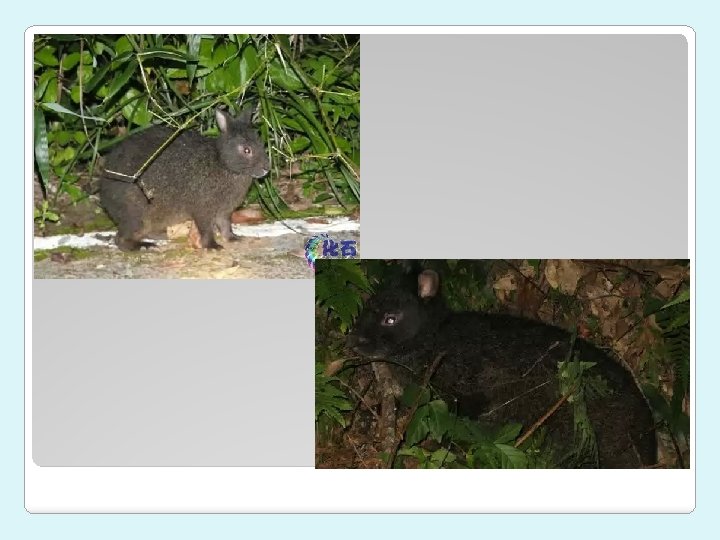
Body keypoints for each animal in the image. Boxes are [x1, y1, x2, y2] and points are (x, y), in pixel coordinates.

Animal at [99, 107, 270, 251]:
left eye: (261, 143)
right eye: (246, 150)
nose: (266, 168)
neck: (223, 163)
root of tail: (104, 196)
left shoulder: (224, 211)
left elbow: (226, 226)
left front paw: (233, 238)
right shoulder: (203, 209)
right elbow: (206, 229)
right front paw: (212, 246)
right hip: (137, 216)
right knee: (121, 240)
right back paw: (144, 246)